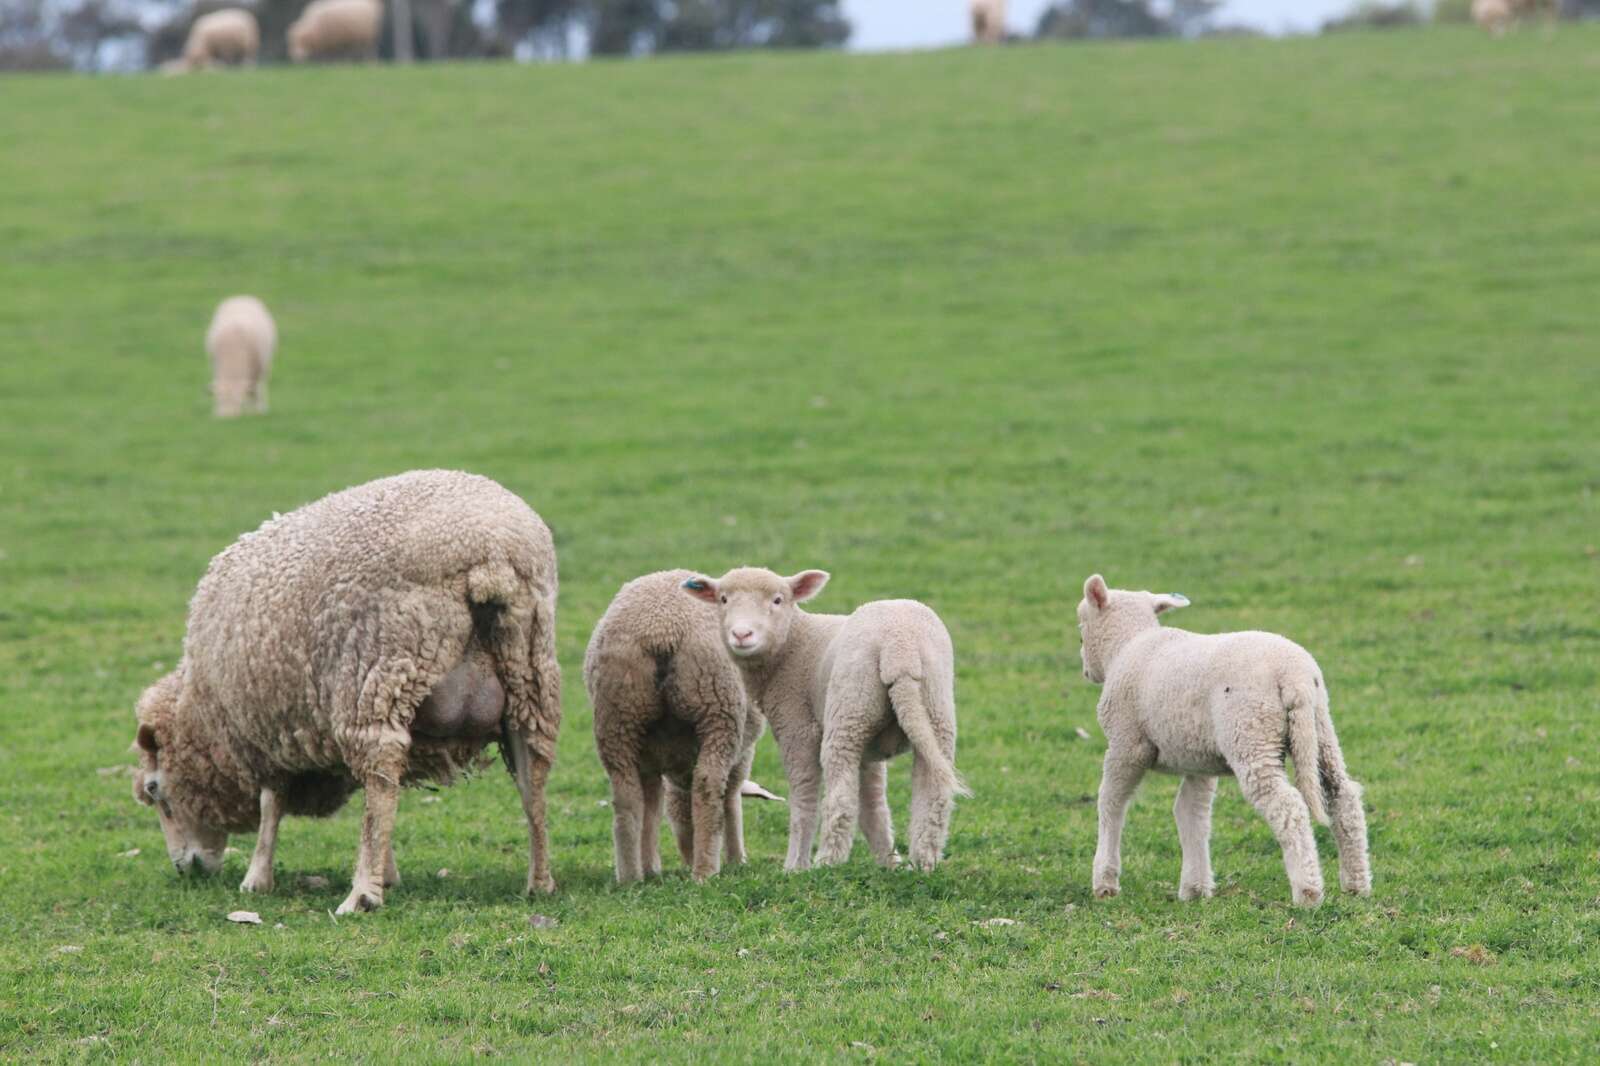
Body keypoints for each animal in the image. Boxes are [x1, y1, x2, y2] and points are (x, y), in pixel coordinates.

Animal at [130, 470, 562, 914]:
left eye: (155, 790)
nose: (186, 868)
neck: (201, 709)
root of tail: (490, 553)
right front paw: (389, 872)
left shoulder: (265, 731)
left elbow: (272, 804)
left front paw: (256, 878)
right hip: (528, 674)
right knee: (531, 779)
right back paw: (539, 882)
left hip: (375, 675)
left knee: (381, 776)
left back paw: (361, 896)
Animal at [585, 570, 769, 883]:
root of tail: (661, 631)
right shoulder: (743, 754)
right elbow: (731, 799)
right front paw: (737, 860)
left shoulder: (650, 761)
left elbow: (653, 805)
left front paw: (651, 867)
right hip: (718, 708)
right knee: (708, 786)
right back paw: (706, 871)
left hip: (618, 714)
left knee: (626, 796)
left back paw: (631, 877)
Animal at [684, 568, 968, 872]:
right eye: (723, 599)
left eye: (777, 600)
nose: (741, 634)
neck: (793, 645)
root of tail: (900, 647)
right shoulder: (869, 751)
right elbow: (873, 806)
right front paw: (888, 862)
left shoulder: (796, 725)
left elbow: (804, 797)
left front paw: (795, 866)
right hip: (933, 708)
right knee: (933, 793)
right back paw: (924, 862)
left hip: (849, 707)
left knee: (841, 797)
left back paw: (827, 861)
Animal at [1076, 574, 1371, 908]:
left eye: (1081, 628)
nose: (1085, 668)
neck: (1127, 645)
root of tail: (1294, 676)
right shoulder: (1198, 761)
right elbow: (1191, 813)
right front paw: (1195, 888)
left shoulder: (1126, 744)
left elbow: (1111, 803)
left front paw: (1105, 882)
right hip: (1320, 729)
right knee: (1343, 796)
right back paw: (1356, 883)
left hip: (1251, 732)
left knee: (1288, 807)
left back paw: (1307, 891)